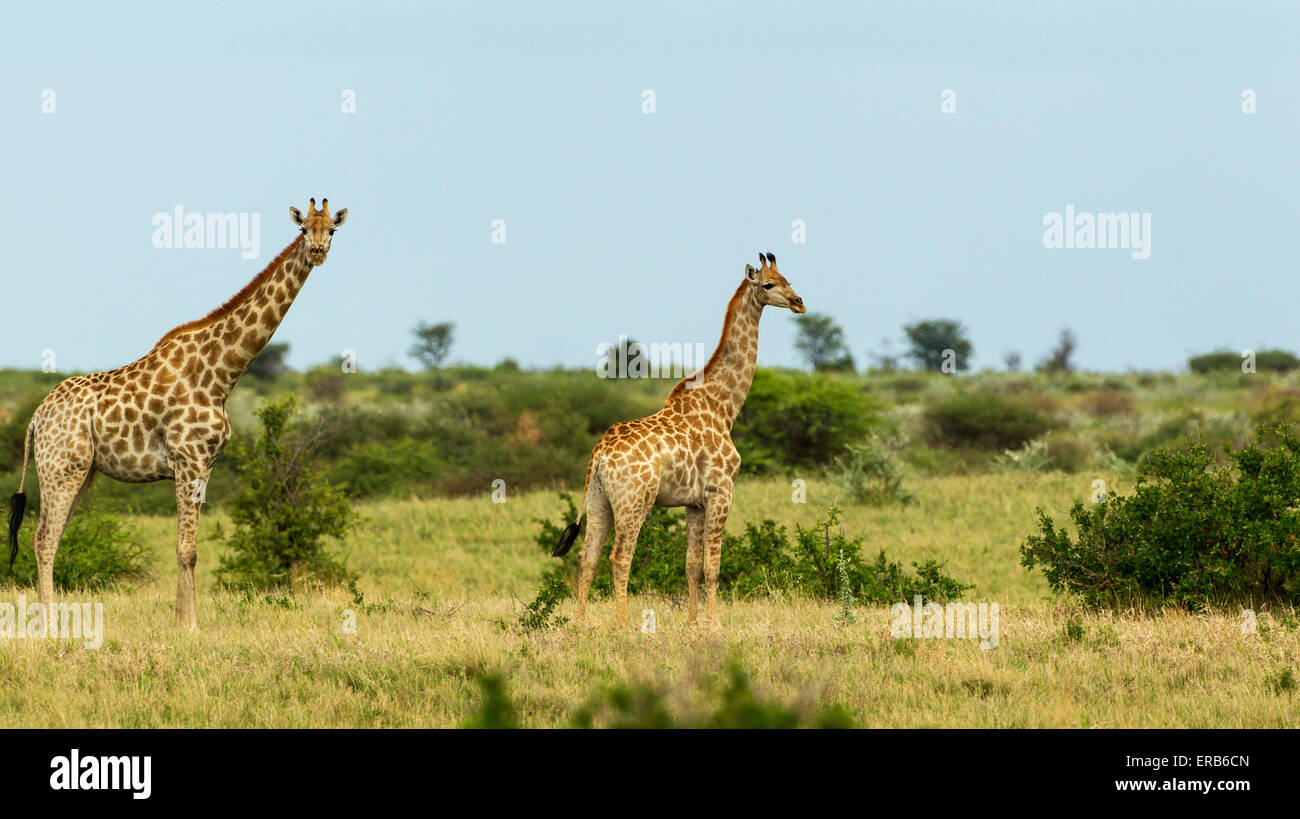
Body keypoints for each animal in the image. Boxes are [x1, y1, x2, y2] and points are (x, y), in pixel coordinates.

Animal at [6, 198, 348, 628]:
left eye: (332, 230)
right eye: (303, 229)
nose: (318, 252)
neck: (221, 374)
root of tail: (36, 417)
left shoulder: (206, 465)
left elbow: (188, 548)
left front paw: (182, 620)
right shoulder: (188, 460)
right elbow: (188, 549)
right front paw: (190, 626)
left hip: (81, 472)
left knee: (51, 535)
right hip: (61, 467)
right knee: (44, 538)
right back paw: (49, 624)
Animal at [552, 252, 805, 629]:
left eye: (788, 279)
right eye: (769, 284)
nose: (799, 302)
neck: (723, 406)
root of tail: (599, 455)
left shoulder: (694, 502)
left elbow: (692, 565)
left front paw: (693, 624)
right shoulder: (721, 492)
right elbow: (713, 566)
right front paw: (714, 624)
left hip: (599, 500)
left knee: (587, 556)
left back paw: (581, 625)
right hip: (634, 501)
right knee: (620, 557)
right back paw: (623, 626)